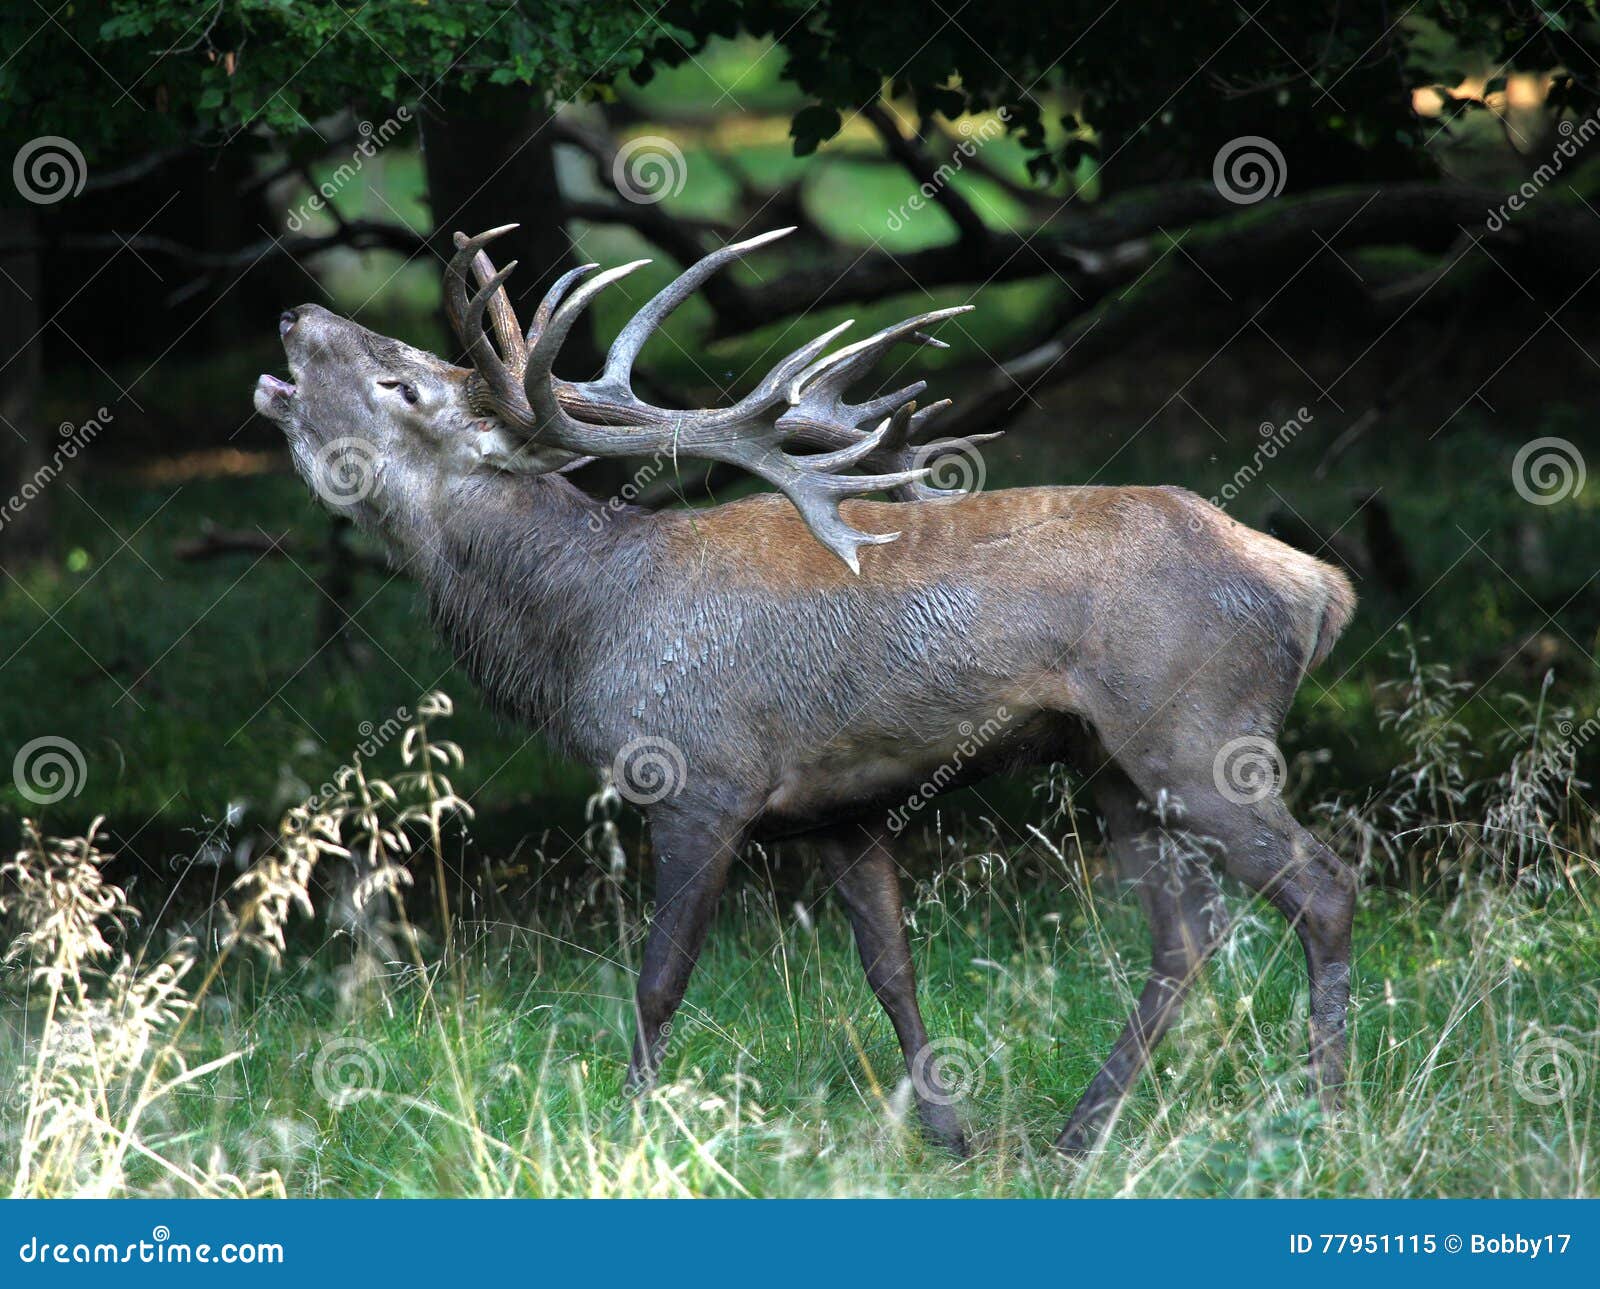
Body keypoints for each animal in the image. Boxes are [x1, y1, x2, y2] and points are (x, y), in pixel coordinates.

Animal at [254, 224, 1357, 1158]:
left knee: (1323, 887)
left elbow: (660, 977)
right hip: (1114, 761)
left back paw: (1325, 1115)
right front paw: (948, 1134)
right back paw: (1080, 1132)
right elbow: (892, 970)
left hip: (1200, 728)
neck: (588, 629)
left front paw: (624, 1125)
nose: (294, 314)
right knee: (1187, 932)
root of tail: (1319, 586)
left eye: (401, 383)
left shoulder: (702, 777)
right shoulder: (843, 807)